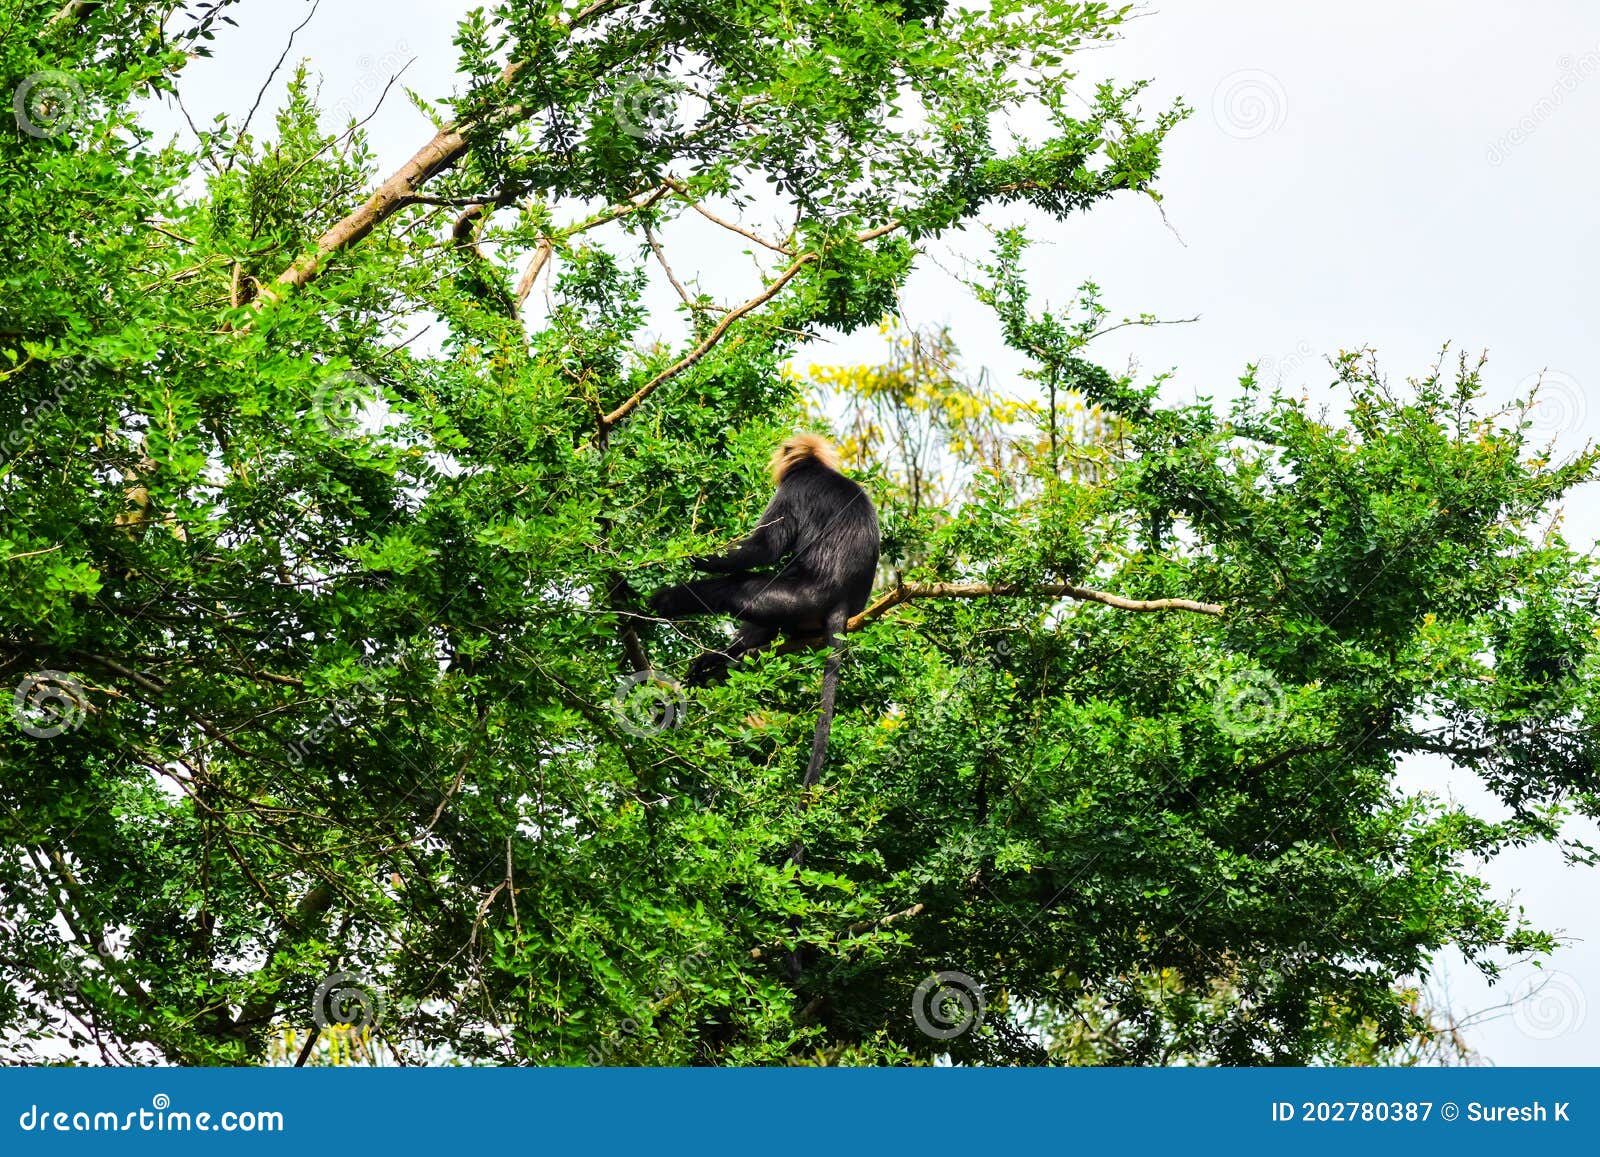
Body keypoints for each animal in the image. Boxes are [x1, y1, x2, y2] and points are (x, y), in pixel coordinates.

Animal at [650, 433, 880, 795]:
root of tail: (841, 602)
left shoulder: (793, 489)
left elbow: (766, 547)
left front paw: (700, 556)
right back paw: (719, 659)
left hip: (795, 598)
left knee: (737, 589)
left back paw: (671, 605)